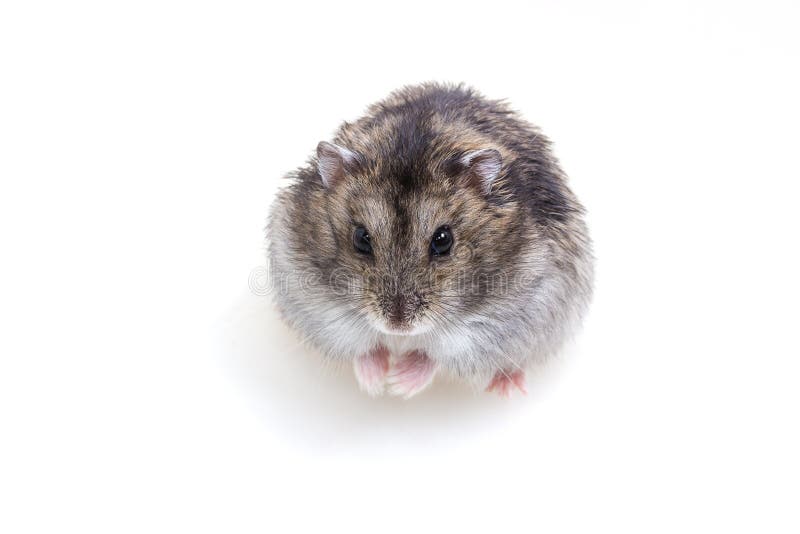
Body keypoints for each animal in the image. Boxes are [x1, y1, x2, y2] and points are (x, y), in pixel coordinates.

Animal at [267, 83, 593, 398]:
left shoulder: (498, 323)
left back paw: (508, 388)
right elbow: (363, 347)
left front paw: (398, 384)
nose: (397, 325)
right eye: (361, 238)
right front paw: (377, 383)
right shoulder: (314, 299)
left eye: (443, 241)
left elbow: (435, 353)